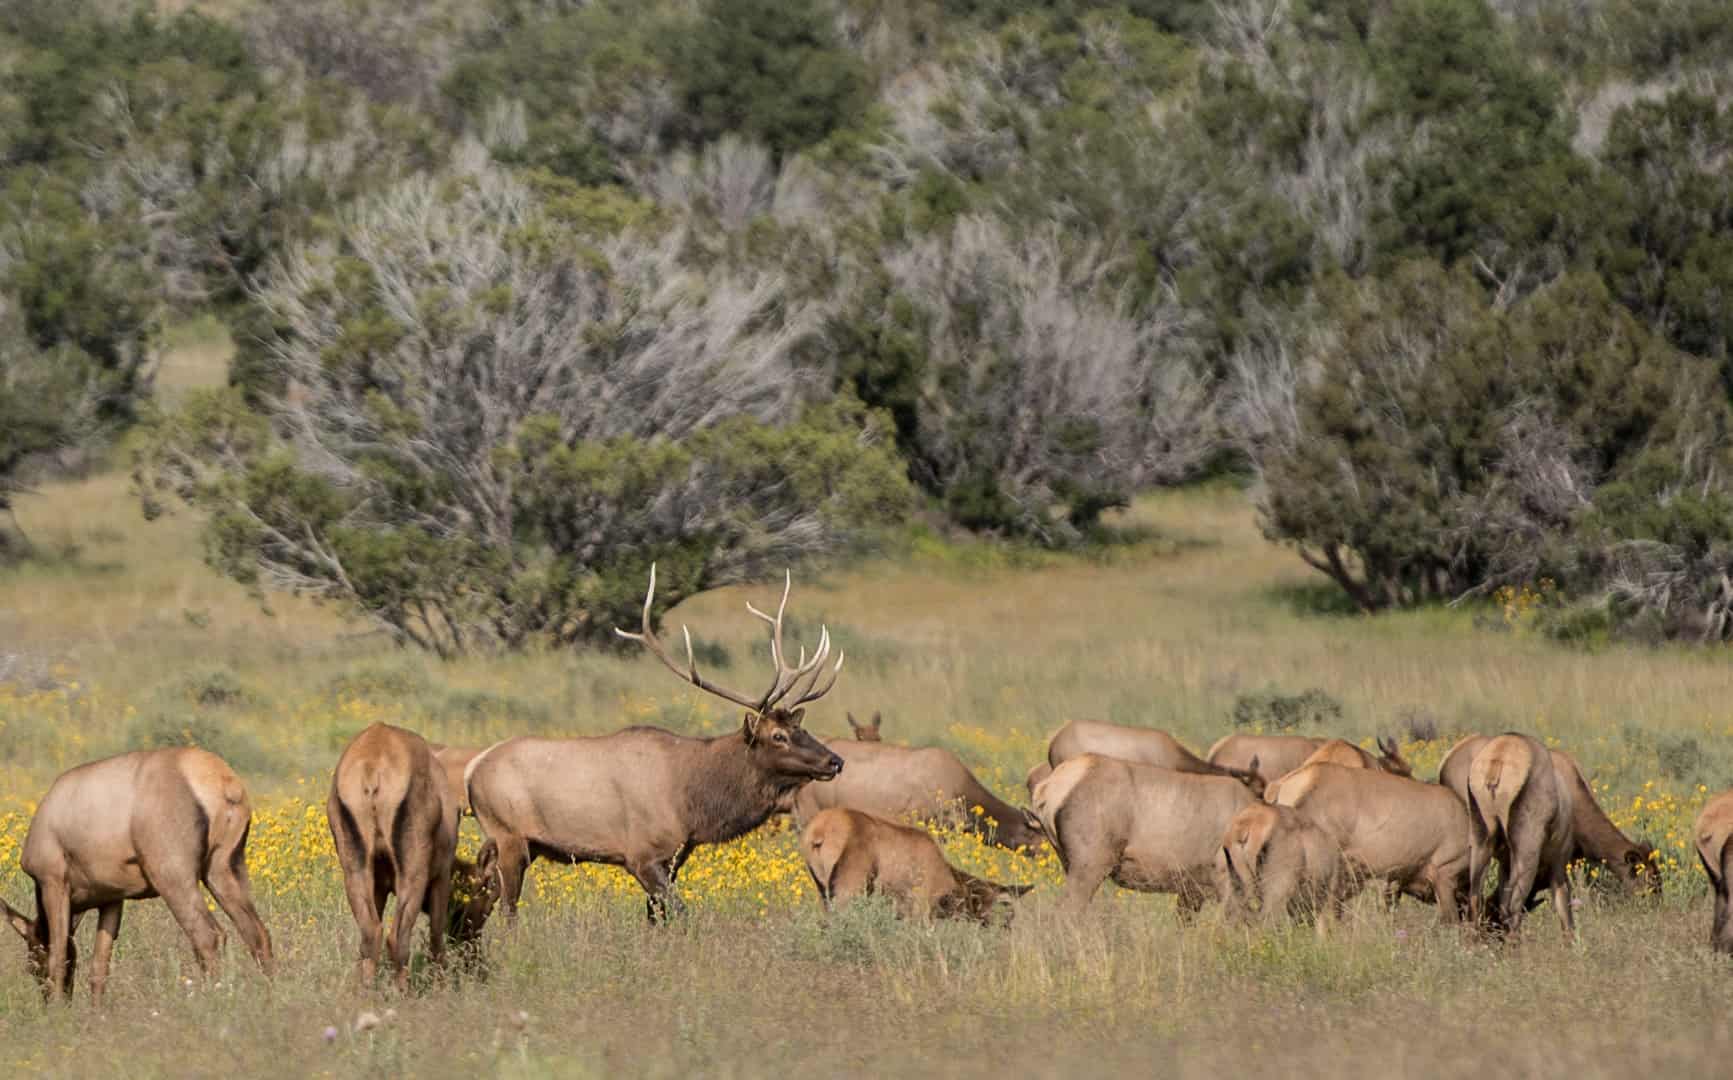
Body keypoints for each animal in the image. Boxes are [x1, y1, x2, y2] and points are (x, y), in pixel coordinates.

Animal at [0, 748, 273, 1004]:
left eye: (32, 964)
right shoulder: (112, 897)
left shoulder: (52, 879)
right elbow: (99, 966)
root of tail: (226, 785)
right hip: (224, 866)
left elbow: (58, 955)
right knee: (257, 933)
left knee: (208, 934)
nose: (50, 1002)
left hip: (172, 871)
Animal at [327, 723, 500, 990]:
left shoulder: (379, 885)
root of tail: (371, 772)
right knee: (397, 937)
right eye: (490, 894)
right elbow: (436, 936)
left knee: (370, 933)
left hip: (354, 866)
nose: (473, 957)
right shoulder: (441, 874)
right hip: (413, 869)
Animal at [466, 565, 846, 922]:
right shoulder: (640, 855)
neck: (693, 803)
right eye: (778, 736)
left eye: (800, 728)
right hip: (509, 834)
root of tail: (472, 769)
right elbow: (679, 912)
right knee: (508, 908)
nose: (835, 761)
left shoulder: (675, 855)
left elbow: (655, 917)